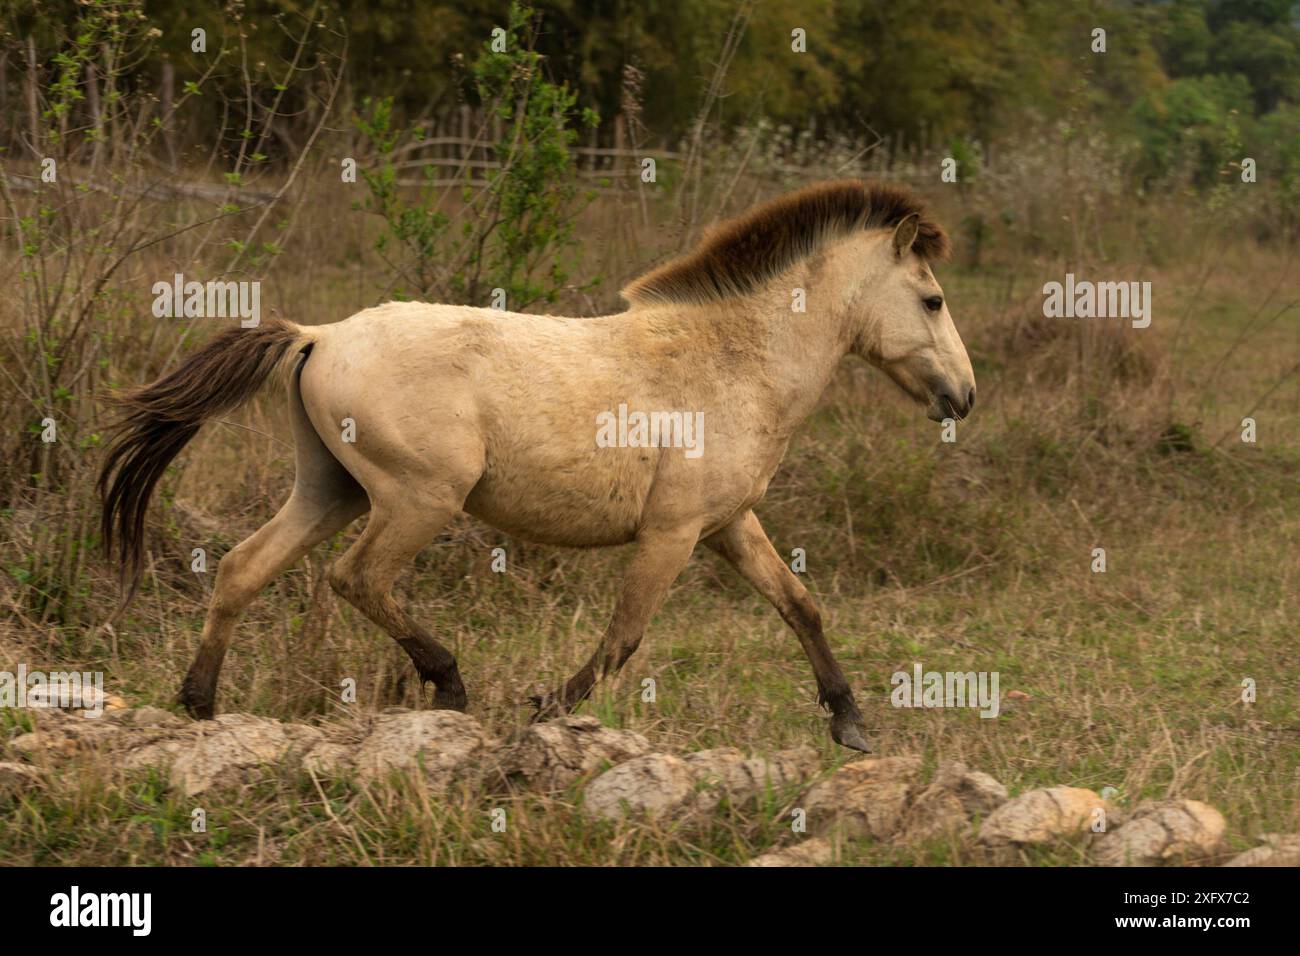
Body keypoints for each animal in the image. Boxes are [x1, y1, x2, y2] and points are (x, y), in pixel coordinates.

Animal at [99, 180, 976, 753]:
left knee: (244, 567)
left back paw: (199, 705)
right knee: (356, 578)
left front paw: (851, 725)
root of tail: (318, 334)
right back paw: (449, 685)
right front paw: (545, 708)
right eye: (932, 299)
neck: (731, 361)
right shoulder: (672, 533)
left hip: (330, 490)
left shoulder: (728, 525)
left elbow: (800, 605)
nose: (963, 396)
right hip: (419, 498)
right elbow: (624, 638)